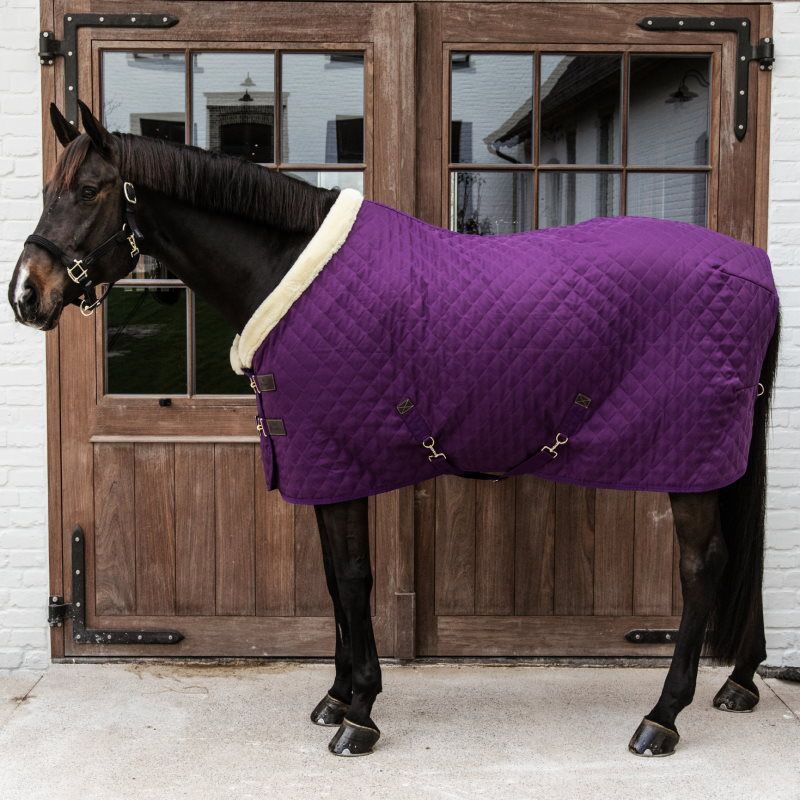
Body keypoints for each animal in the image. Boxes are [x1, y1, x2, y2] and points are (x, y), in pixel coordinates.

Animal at [7, 101, 780, 758]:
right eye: (51, 187)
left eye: (91, 189)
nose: (25, 294)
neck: (290, 274)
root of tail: (755, 269)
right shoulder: (319, 463)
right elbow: (332, 580)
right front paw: (336, 697)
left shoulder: (338, 459)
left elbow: (353, 580)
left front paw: (360, 715)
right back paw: (738, 682)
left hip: (688, 459)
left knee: (702, 567)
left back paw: (662, 717)